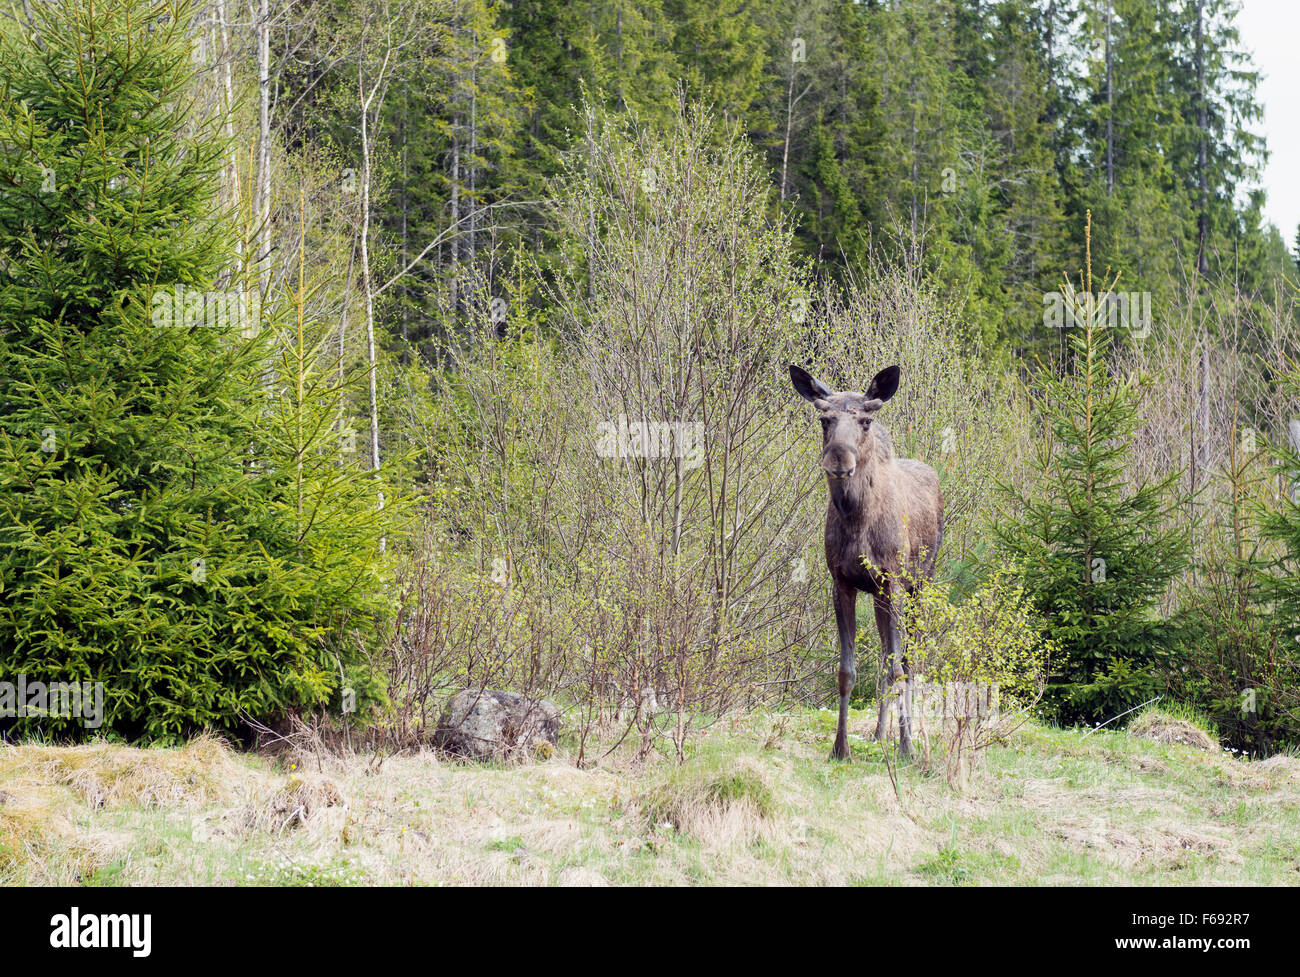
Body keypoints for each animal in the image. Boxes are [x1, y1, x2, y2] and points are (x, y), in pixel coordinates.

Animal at [789, 363, 944, 760]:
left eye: (865, 421)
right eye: (824, 419)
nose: (838, 460)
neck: (856, 518)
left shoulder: (893, 583)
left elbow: (898, 667)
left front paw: (906, 747)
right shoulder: (842, 582)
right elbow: (848, 671)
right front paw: (840, 748)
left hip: (921, 585)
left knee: (910, 661)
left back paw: (908, 736)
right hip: (878, 597)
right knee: (890, 661)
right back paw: (878, 733)